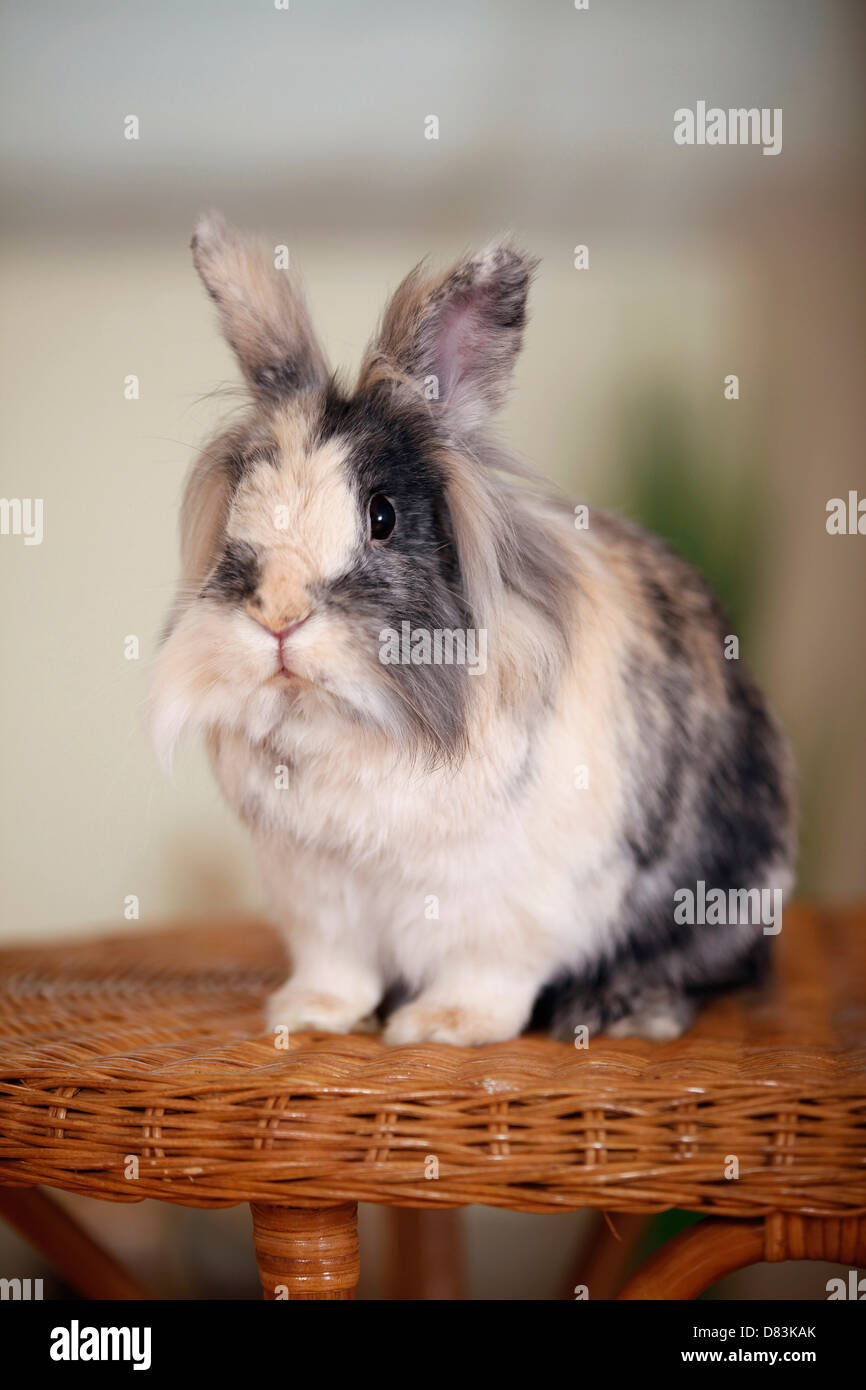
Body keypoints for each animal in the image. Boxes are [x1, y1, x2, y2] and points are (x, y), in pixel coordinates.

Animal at [148, 211, 796, 1047]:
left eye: (383, 515)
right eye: (239, 510)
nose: (279, 617)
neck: (357, 723)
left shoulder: (506, 906)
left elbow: (486, 975)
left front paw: (439, 1027)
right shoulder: (321, 902)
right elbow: (337, 968)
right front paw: (309, 1014)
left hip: (723, 890)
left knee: (704, 965)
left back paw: (622, 1006)